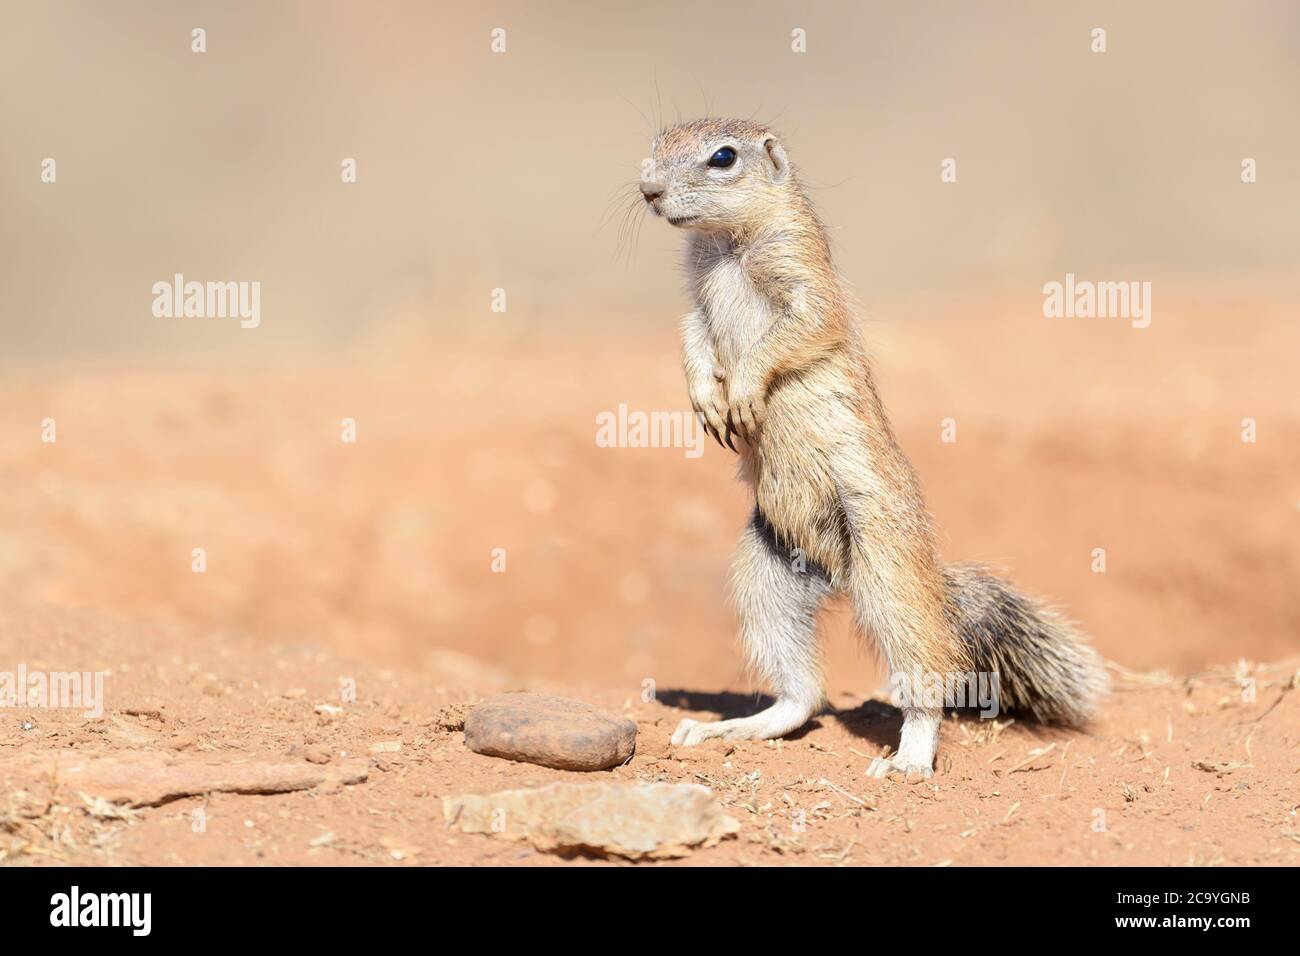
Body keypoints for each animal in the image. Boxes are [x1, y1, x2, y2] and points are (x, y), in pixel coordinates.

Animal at [640, 118, 1107, 778]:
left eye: (723, 157)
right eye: (657, 144)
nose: (648, 189)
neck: (725, 245)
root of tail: (835, 573)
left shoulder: (804, 279)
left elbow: (799, 329)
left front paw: (745, 393)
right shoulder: (695, 301)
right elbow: (690, 336)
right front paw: (707, 401)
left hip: (887, 567)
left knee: (928, 674)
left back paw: (909, 758)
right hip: (766, 570)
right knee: (803, 695)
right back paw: (728, 728)